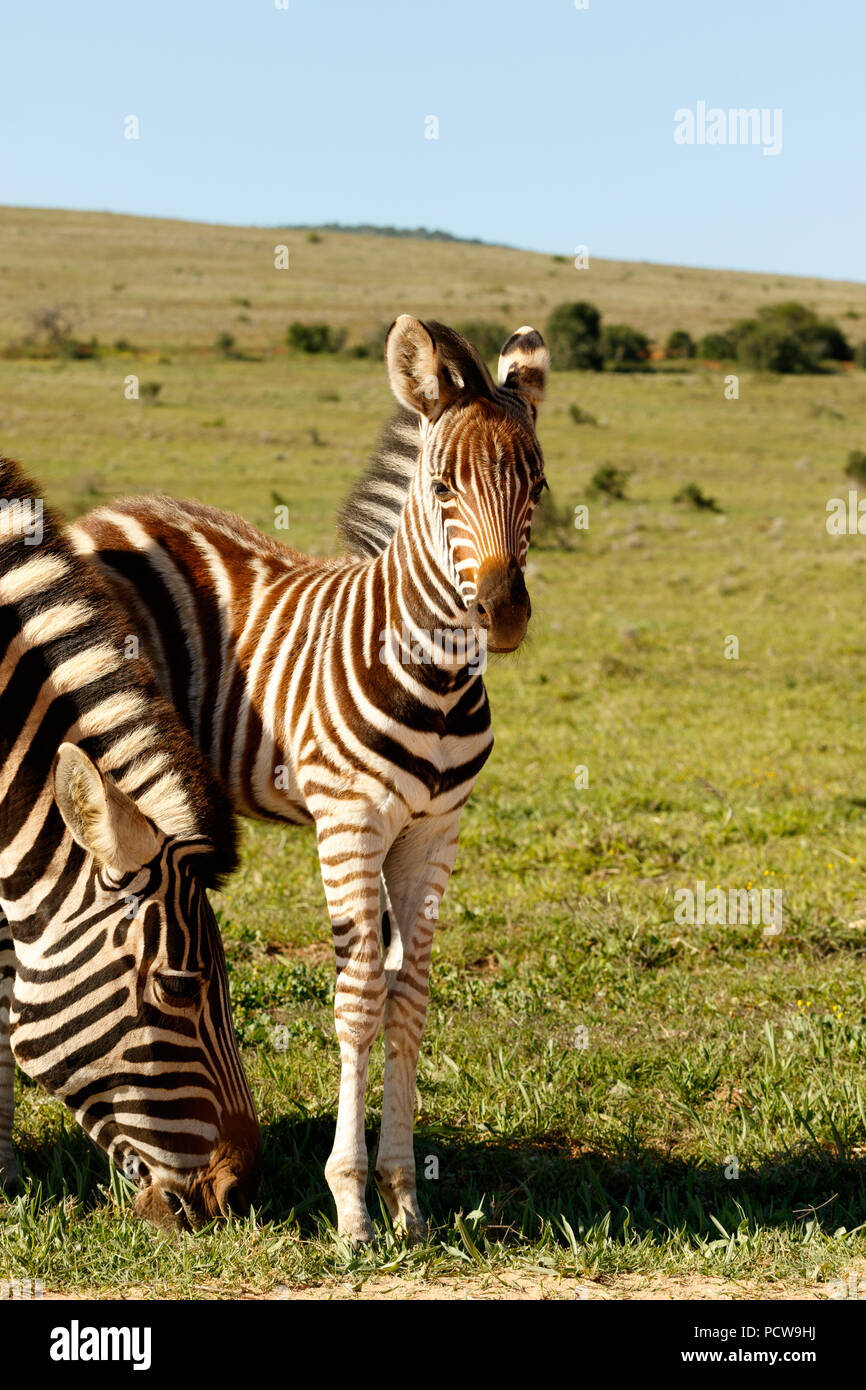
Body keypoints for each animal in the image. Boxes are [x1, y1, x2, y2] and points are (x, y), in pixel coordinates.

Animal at [72, 317, 549, 1244]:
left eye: (538, 484)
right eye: (442, 485)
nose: (504, 612)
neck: (436, 677)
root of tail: (104, 512)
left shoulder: (435, 830)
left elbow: (410, 997)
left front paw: (406, 1200)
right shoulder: (349, 822)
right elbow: (359, 997)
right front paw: (353, 1205)